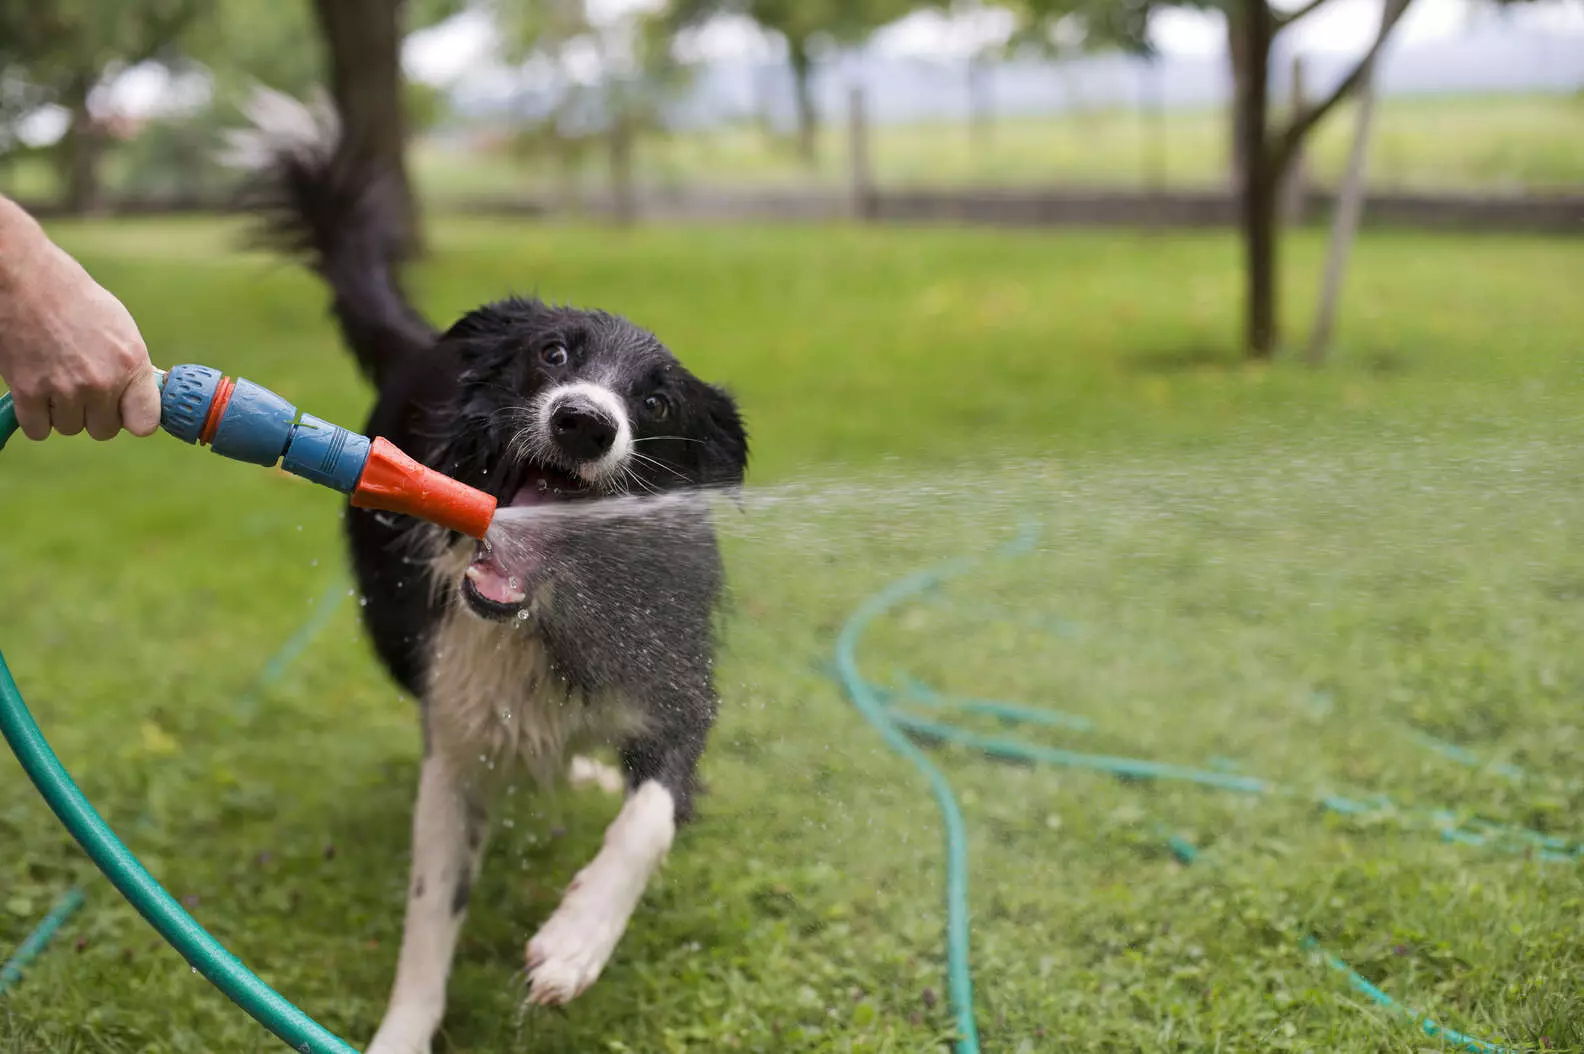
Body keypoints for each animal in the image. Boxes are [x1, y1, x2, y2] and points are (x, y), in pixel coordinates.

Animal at [224, 90, 747, 1052]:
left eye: (654, 401)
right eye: (553, 355)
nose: (586, 421)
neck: (543, 611)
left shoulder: (678, 685)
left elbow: (650, 818)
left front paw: (577, 939)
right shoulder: (457, 734)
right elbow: (431, 910)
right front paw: (403, 1031)